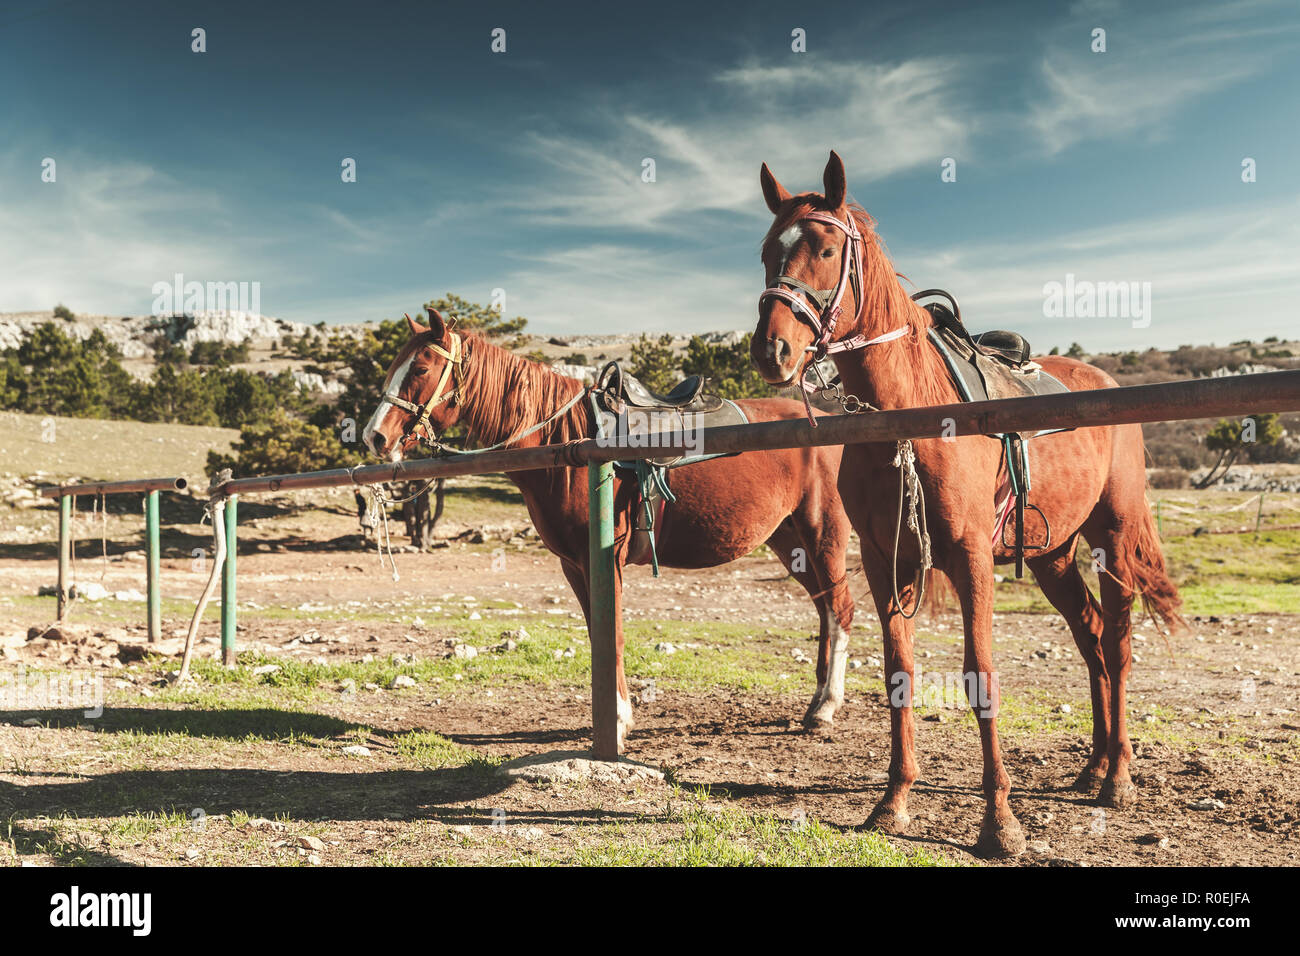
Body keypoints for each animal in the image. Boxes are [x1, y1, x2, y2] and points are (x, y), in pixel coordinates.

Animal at [362, 309, 857, 746]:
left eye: (420, 367)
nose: (374, 436)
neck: (567, 445)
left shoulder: (604, 559)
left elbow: (613, 634)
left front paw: (617, 724)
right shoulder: (574, 565)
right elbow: (598, 634)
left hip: (822, 533)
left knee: (839, 608)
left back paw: (825, 708)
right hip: (789, 540)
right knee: (823, 607)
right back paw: (815, 701)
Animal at [750, 151, 1183, 857]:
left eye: (824, 249)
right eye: (767, 252)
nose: (773, 349)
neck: (908, 416)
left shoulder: (972, 557)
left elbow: (981, 673)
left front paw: (999, 820)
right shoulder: (886, 562)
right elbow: (898, 672)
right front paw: (894, 802)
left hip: (1113, 538)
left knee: (1117, 641)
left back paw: (1117, 775)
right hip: (1052, 555)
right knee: (1090, 634)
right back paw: (1092, 767)